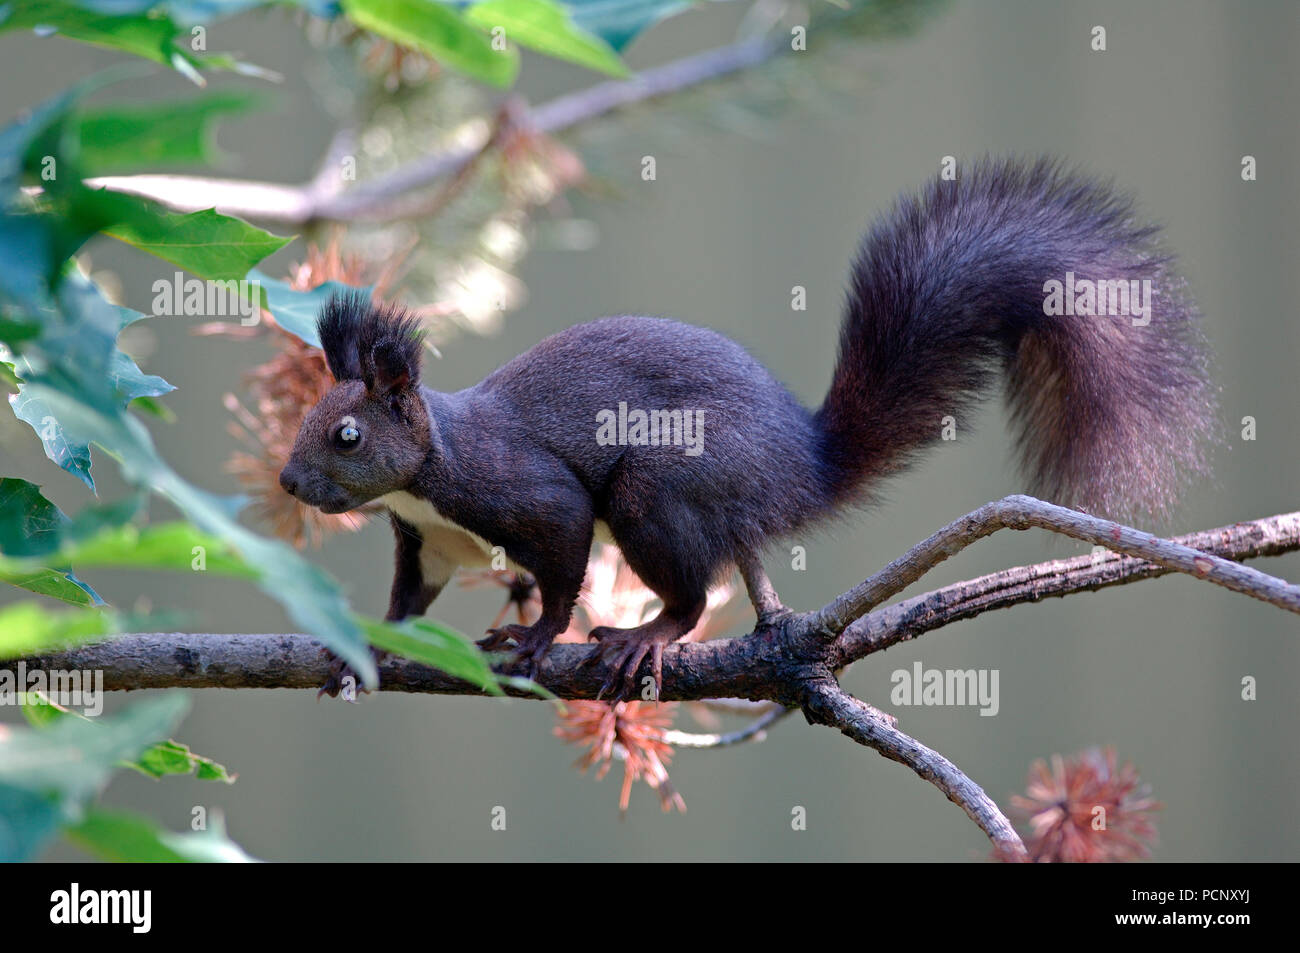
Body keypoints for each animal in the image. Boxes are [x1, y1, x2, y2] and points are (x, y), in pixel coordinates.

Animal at [279, 157, 1217, 700]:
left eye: (347, 434)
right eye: (310, 417)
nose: (287, 482)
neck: (427, 473)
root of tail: (806, 467)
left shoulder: (528, 493)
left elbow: (564, 562)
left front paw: (539, 636)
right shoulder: (428, 541)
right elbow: (406, 602)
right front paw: (355, 648)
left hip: (658, 492)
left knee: (690, 595)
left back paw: (645, 636)